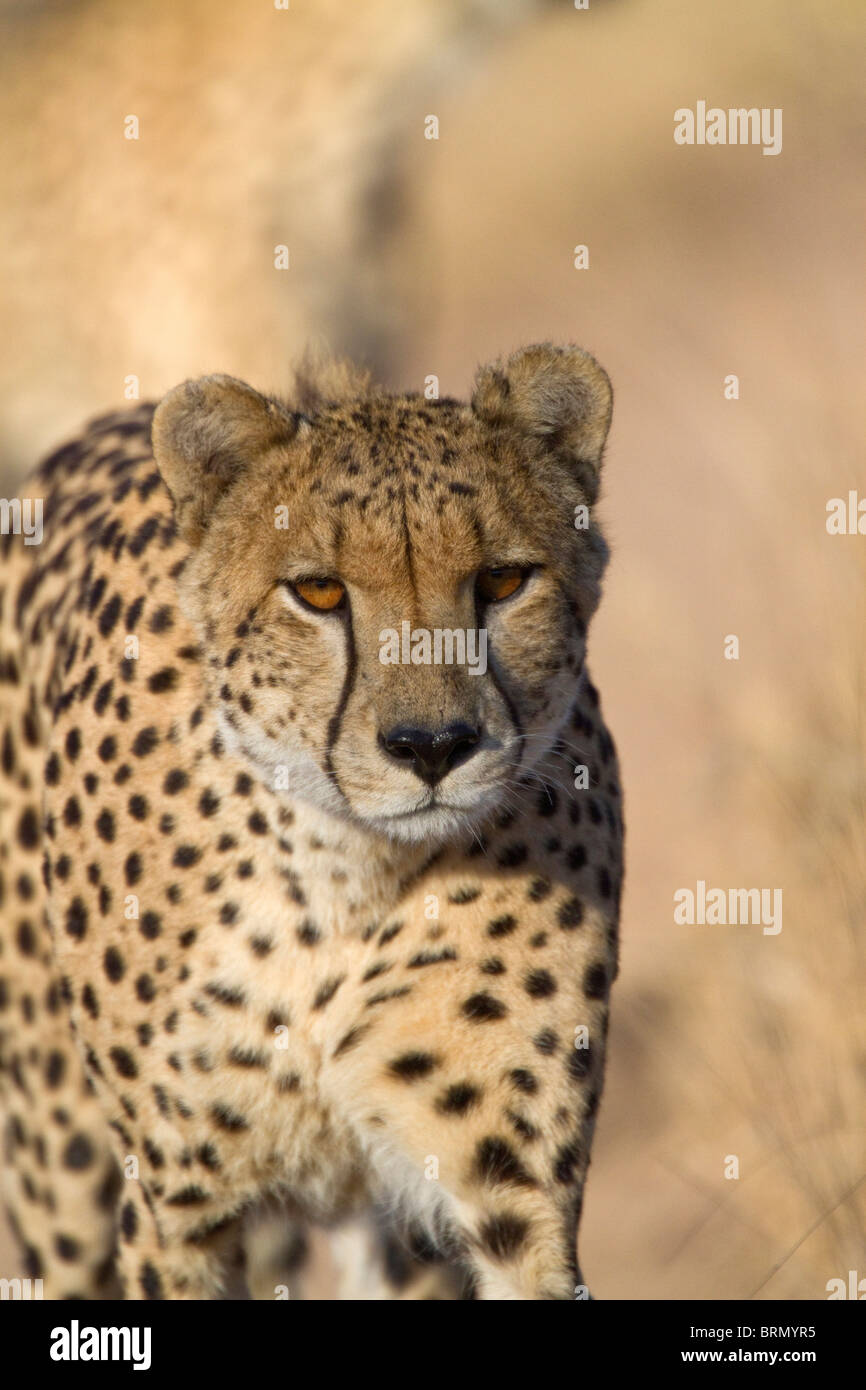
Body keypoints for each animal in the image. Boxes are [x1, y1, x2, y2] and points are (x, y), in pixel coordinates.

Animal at [0, 342, 623, 1300]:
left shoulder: (505, 1195)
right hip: (57, 1163)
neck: (343, 873)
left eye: (503, 581)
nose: (432, 746)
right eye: (320, 592)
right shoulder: (179, 1206)